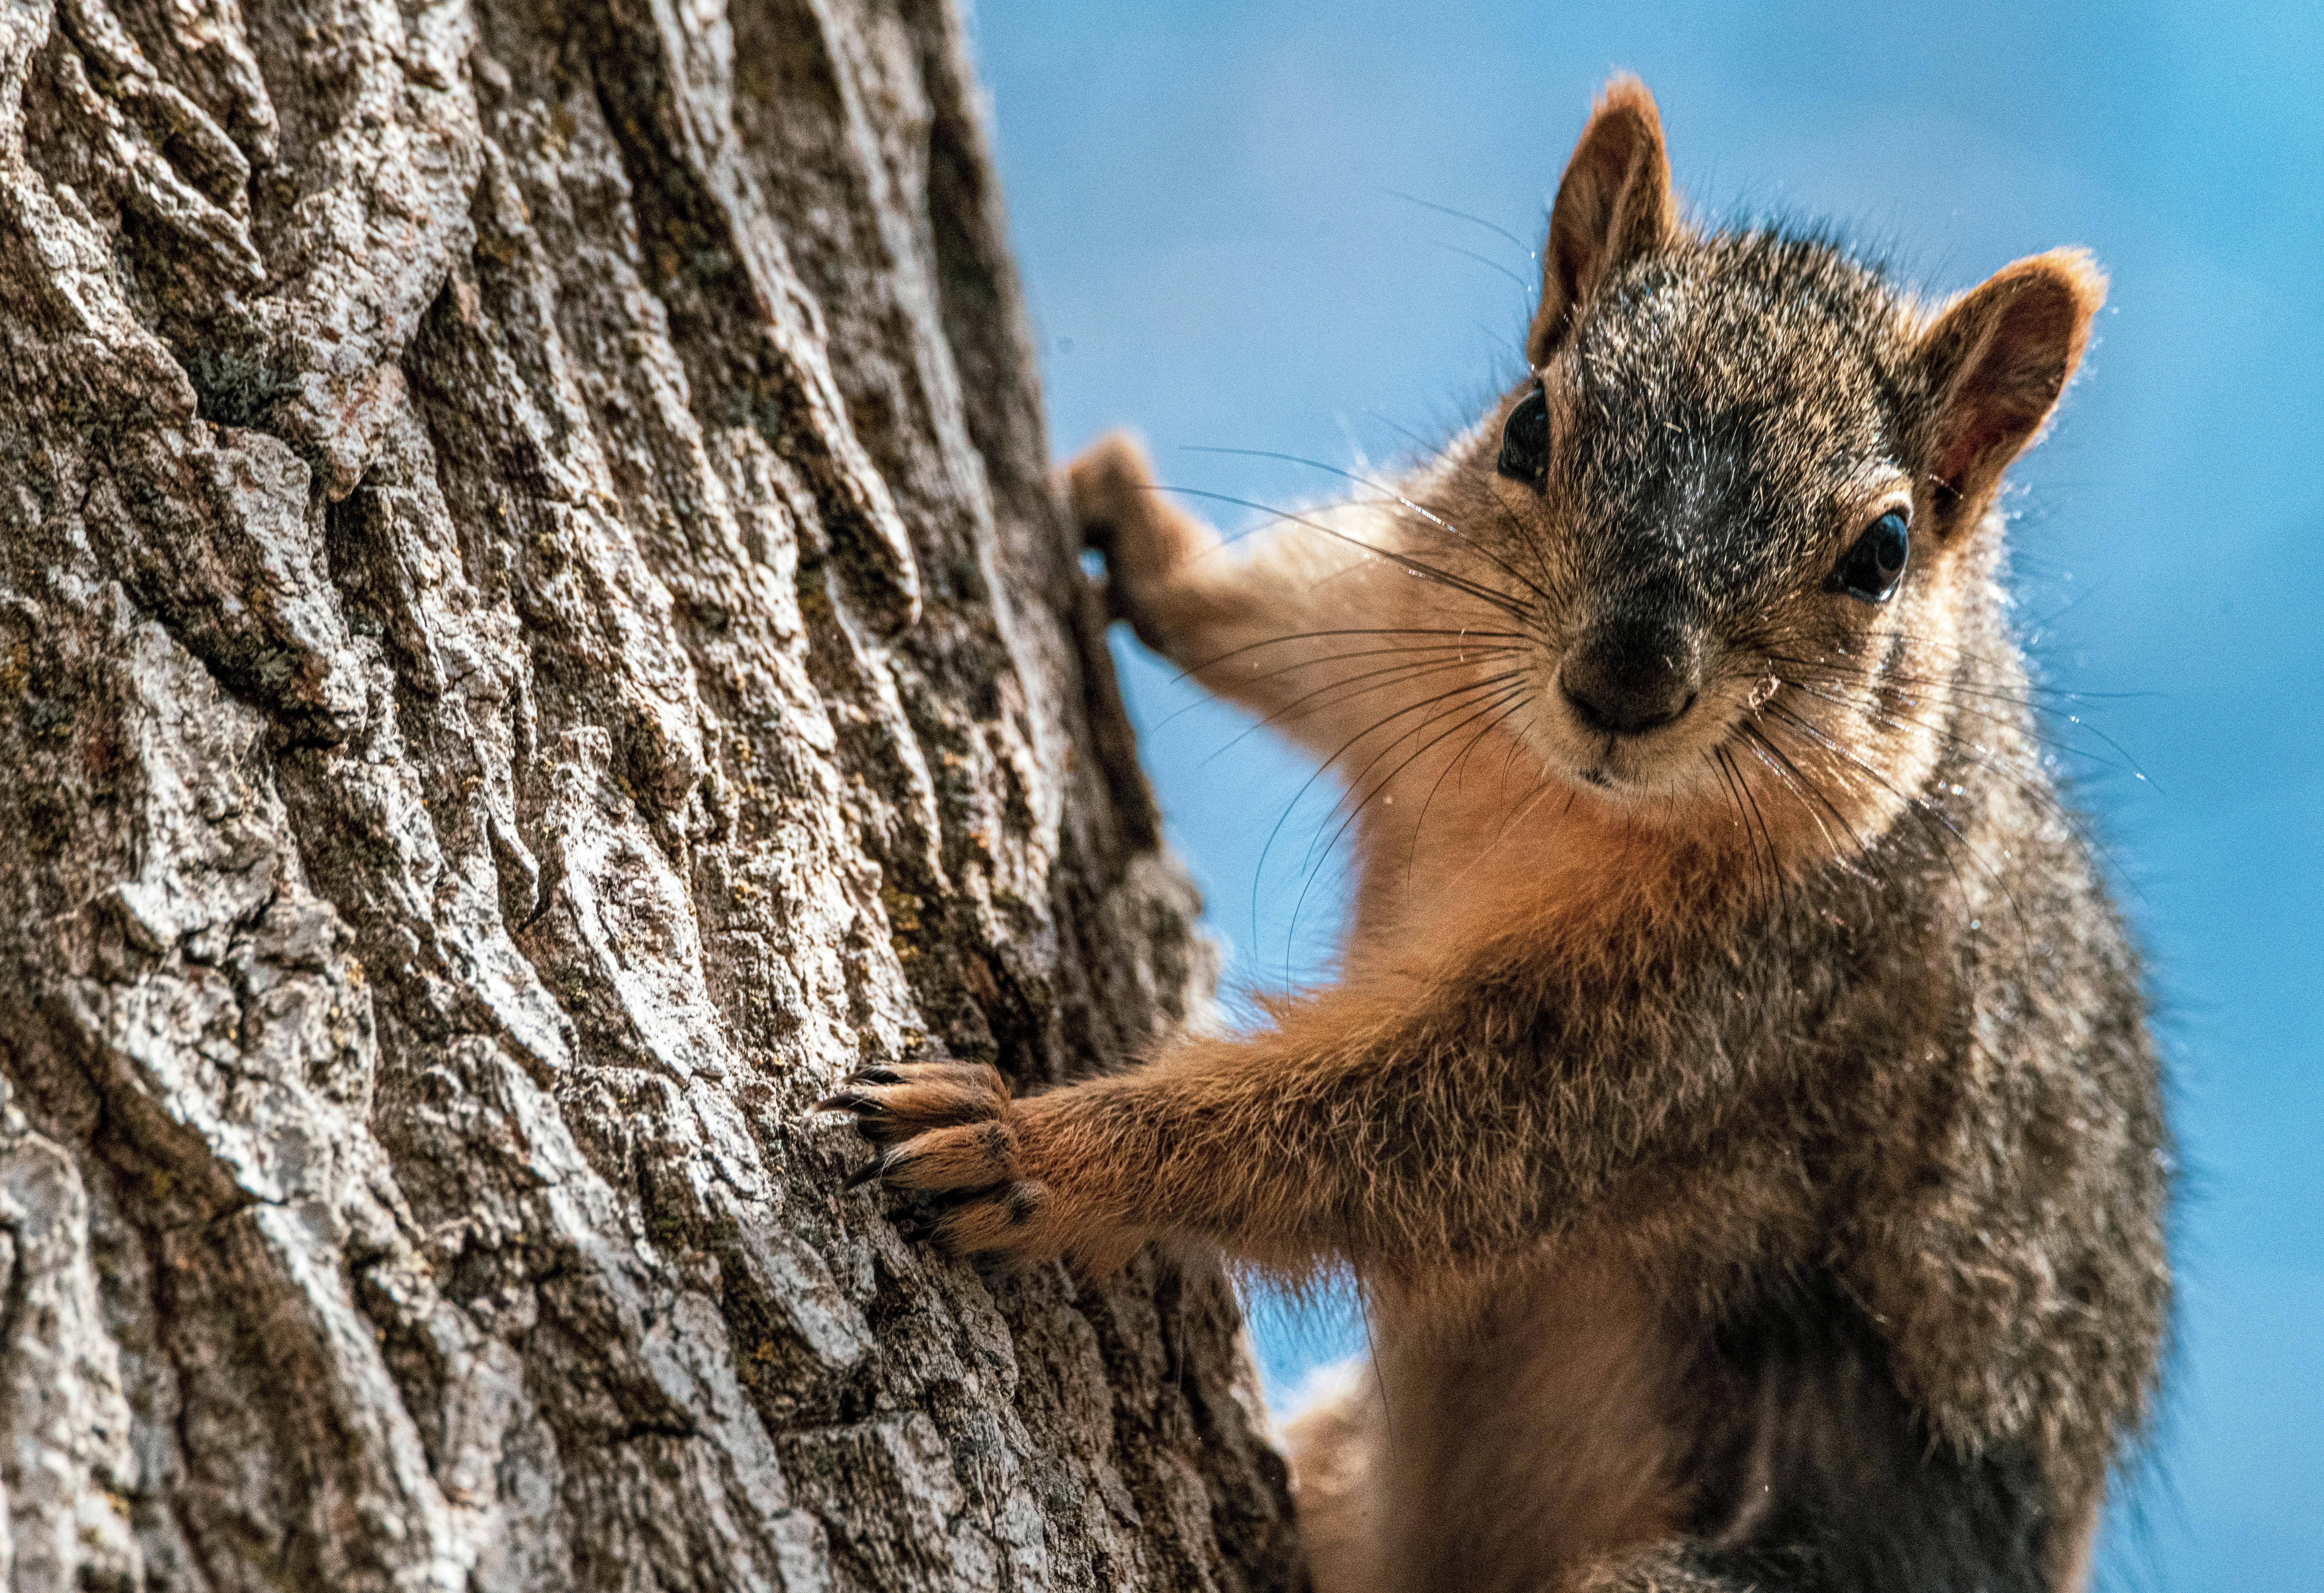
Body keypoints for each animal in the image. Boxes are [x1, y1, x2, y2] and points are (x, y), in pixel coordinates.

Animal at [823, 77, 2168, 1593]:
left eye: (1881, 552)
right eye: (1527, 427)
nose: (1623, 681)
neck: (1546, 791)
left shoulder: (1735, 1009)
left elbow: (1421, 1139)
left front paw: (1031, 1148)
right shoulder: (1395, 629)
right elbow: (1275, 624)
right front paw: (1138, 530)